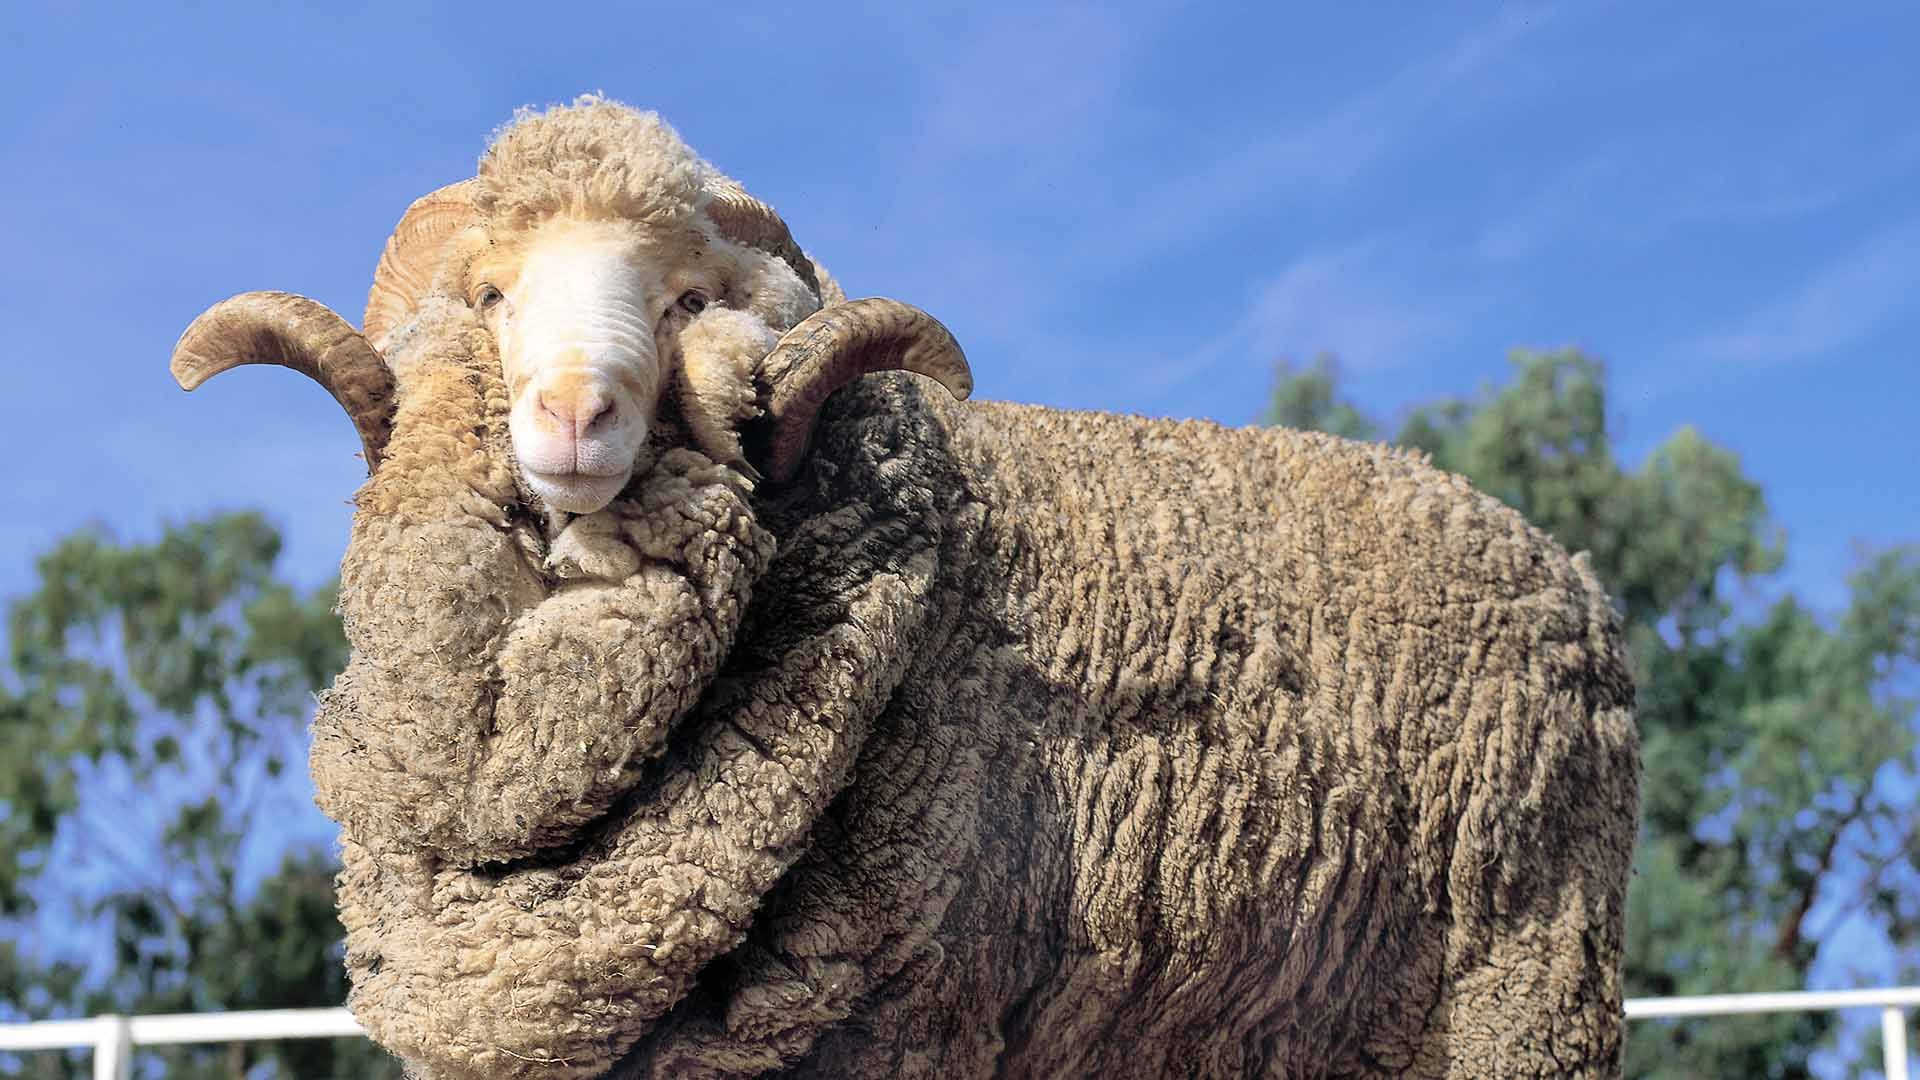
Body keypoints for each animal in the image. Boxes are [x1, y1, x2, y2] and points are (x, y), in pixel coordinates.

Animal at [168, 98, 1640, 1079]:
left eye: (688, 295)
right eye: (487, 292)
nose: (578, 416)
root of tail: (1561, 565)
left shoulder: (915, 1022)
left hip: (1521, 993)